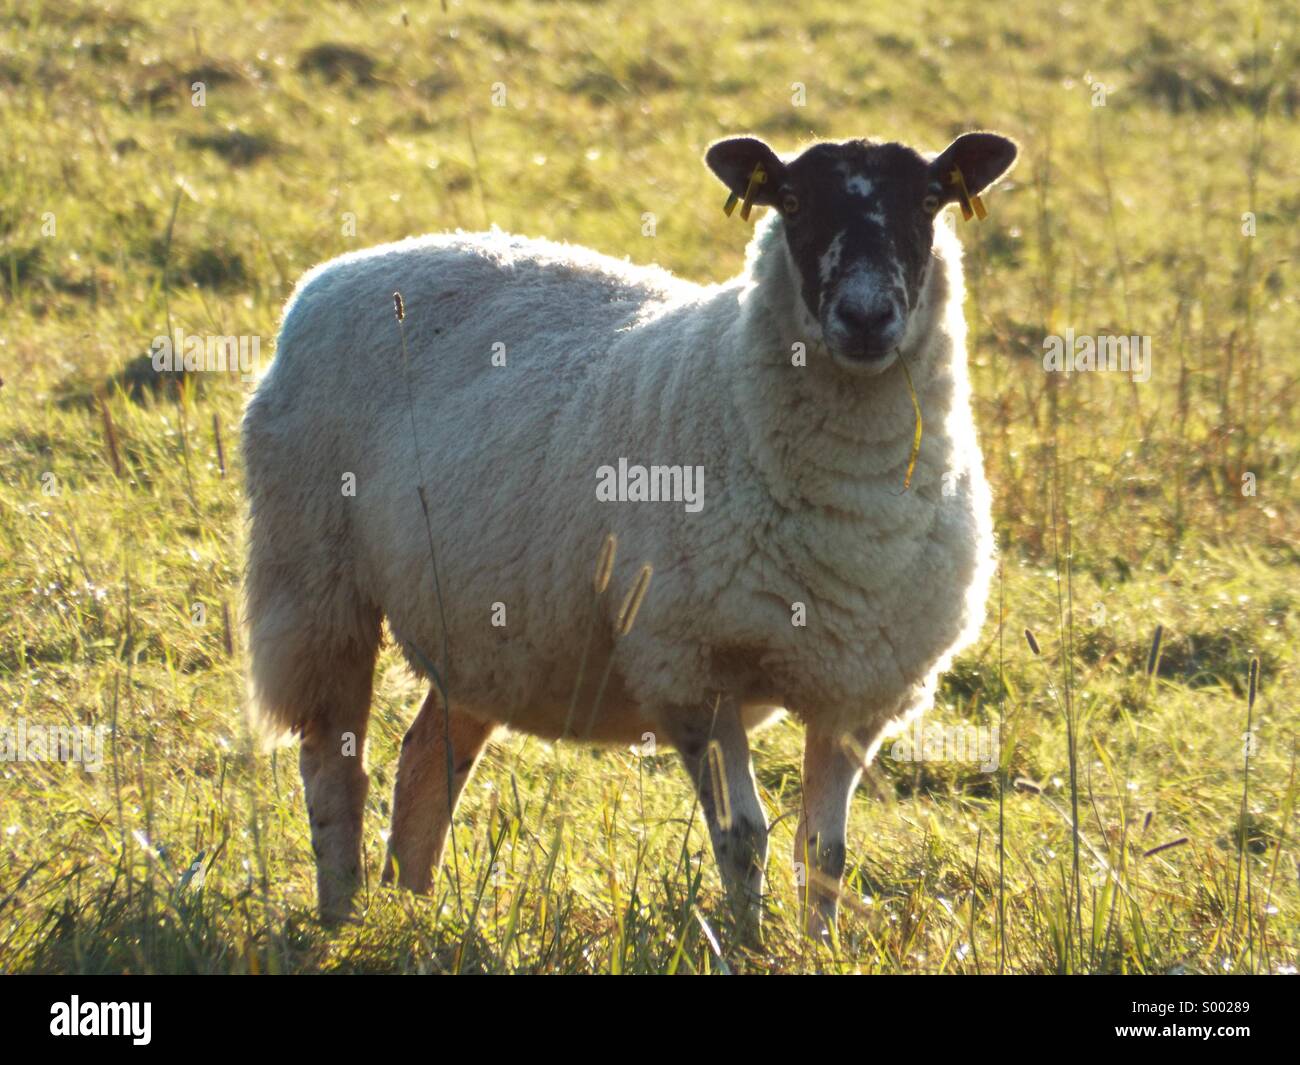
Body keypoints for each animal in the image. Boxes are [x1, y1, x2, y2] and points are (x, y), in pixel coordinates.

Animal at [241, 130, 1018, 936]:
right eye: (794, 201)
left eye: (928, 201)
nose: (866, 316)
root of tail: (338, 271)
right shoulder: (693, 669)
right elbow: (744, 837)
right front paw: (748, 944)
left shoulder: (857, 690)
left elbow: (824, 851)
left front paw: (819, 945)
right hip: (314, 580)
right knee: (333, 766)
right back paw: (342, 915)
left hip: (482, 628)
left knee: (425, 761)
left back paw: (414, 914)